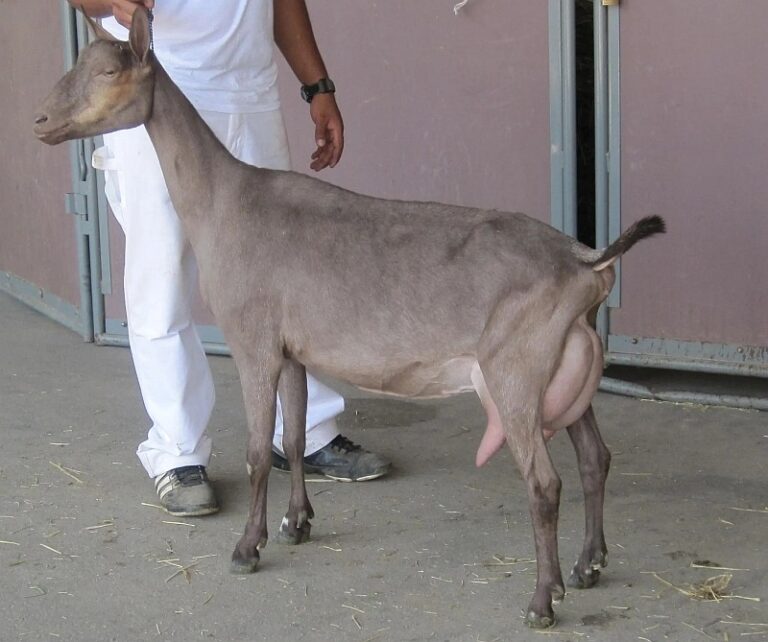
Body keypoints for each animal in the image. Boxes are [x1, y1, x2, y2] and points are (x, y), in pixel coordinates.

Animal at [34, 8, 665, 628]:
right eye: (79, 64)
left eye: (107, 72)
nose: (40, 120)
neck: (223, 202)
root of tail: (587, 261)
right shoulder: (292, 349)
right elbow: (292, 438)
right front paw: (296, 524)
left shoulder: (253, 340)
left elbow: (258, 452)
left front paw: (246, 548)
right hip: (565, 366)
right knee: (594, 459)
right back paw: (588, 566)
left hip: (516, 368)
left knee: (545, 482)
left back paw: (541, 601)